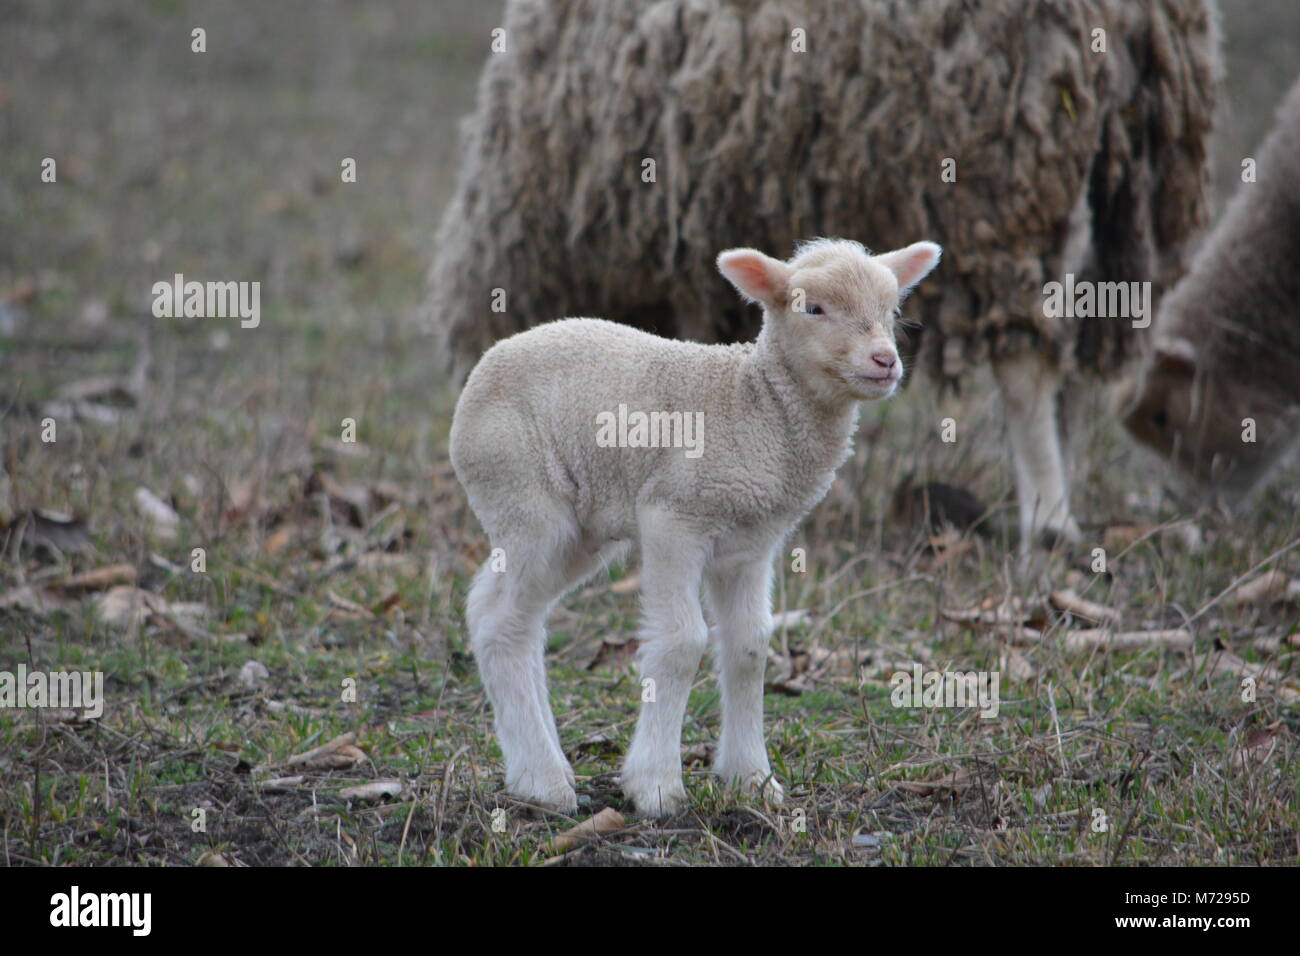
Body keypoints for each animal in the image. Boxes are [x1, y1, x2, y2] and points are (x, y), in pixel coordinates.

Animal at [450, 238, 942, 816]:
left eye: (892, 311)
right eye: (813, 308)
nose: (885, 360)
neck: (758, 405)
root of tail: (483, 370)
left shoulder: (752, 542)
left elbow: (750, 645)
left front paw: (752, 780)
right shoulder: (673, 517)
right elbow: (683, 642)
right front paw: (657, 787)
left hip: (576, 529)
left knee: (502, 612)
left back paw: (540, 766)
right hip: (524, 495)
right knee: (502, 624)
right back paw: (544, 783)